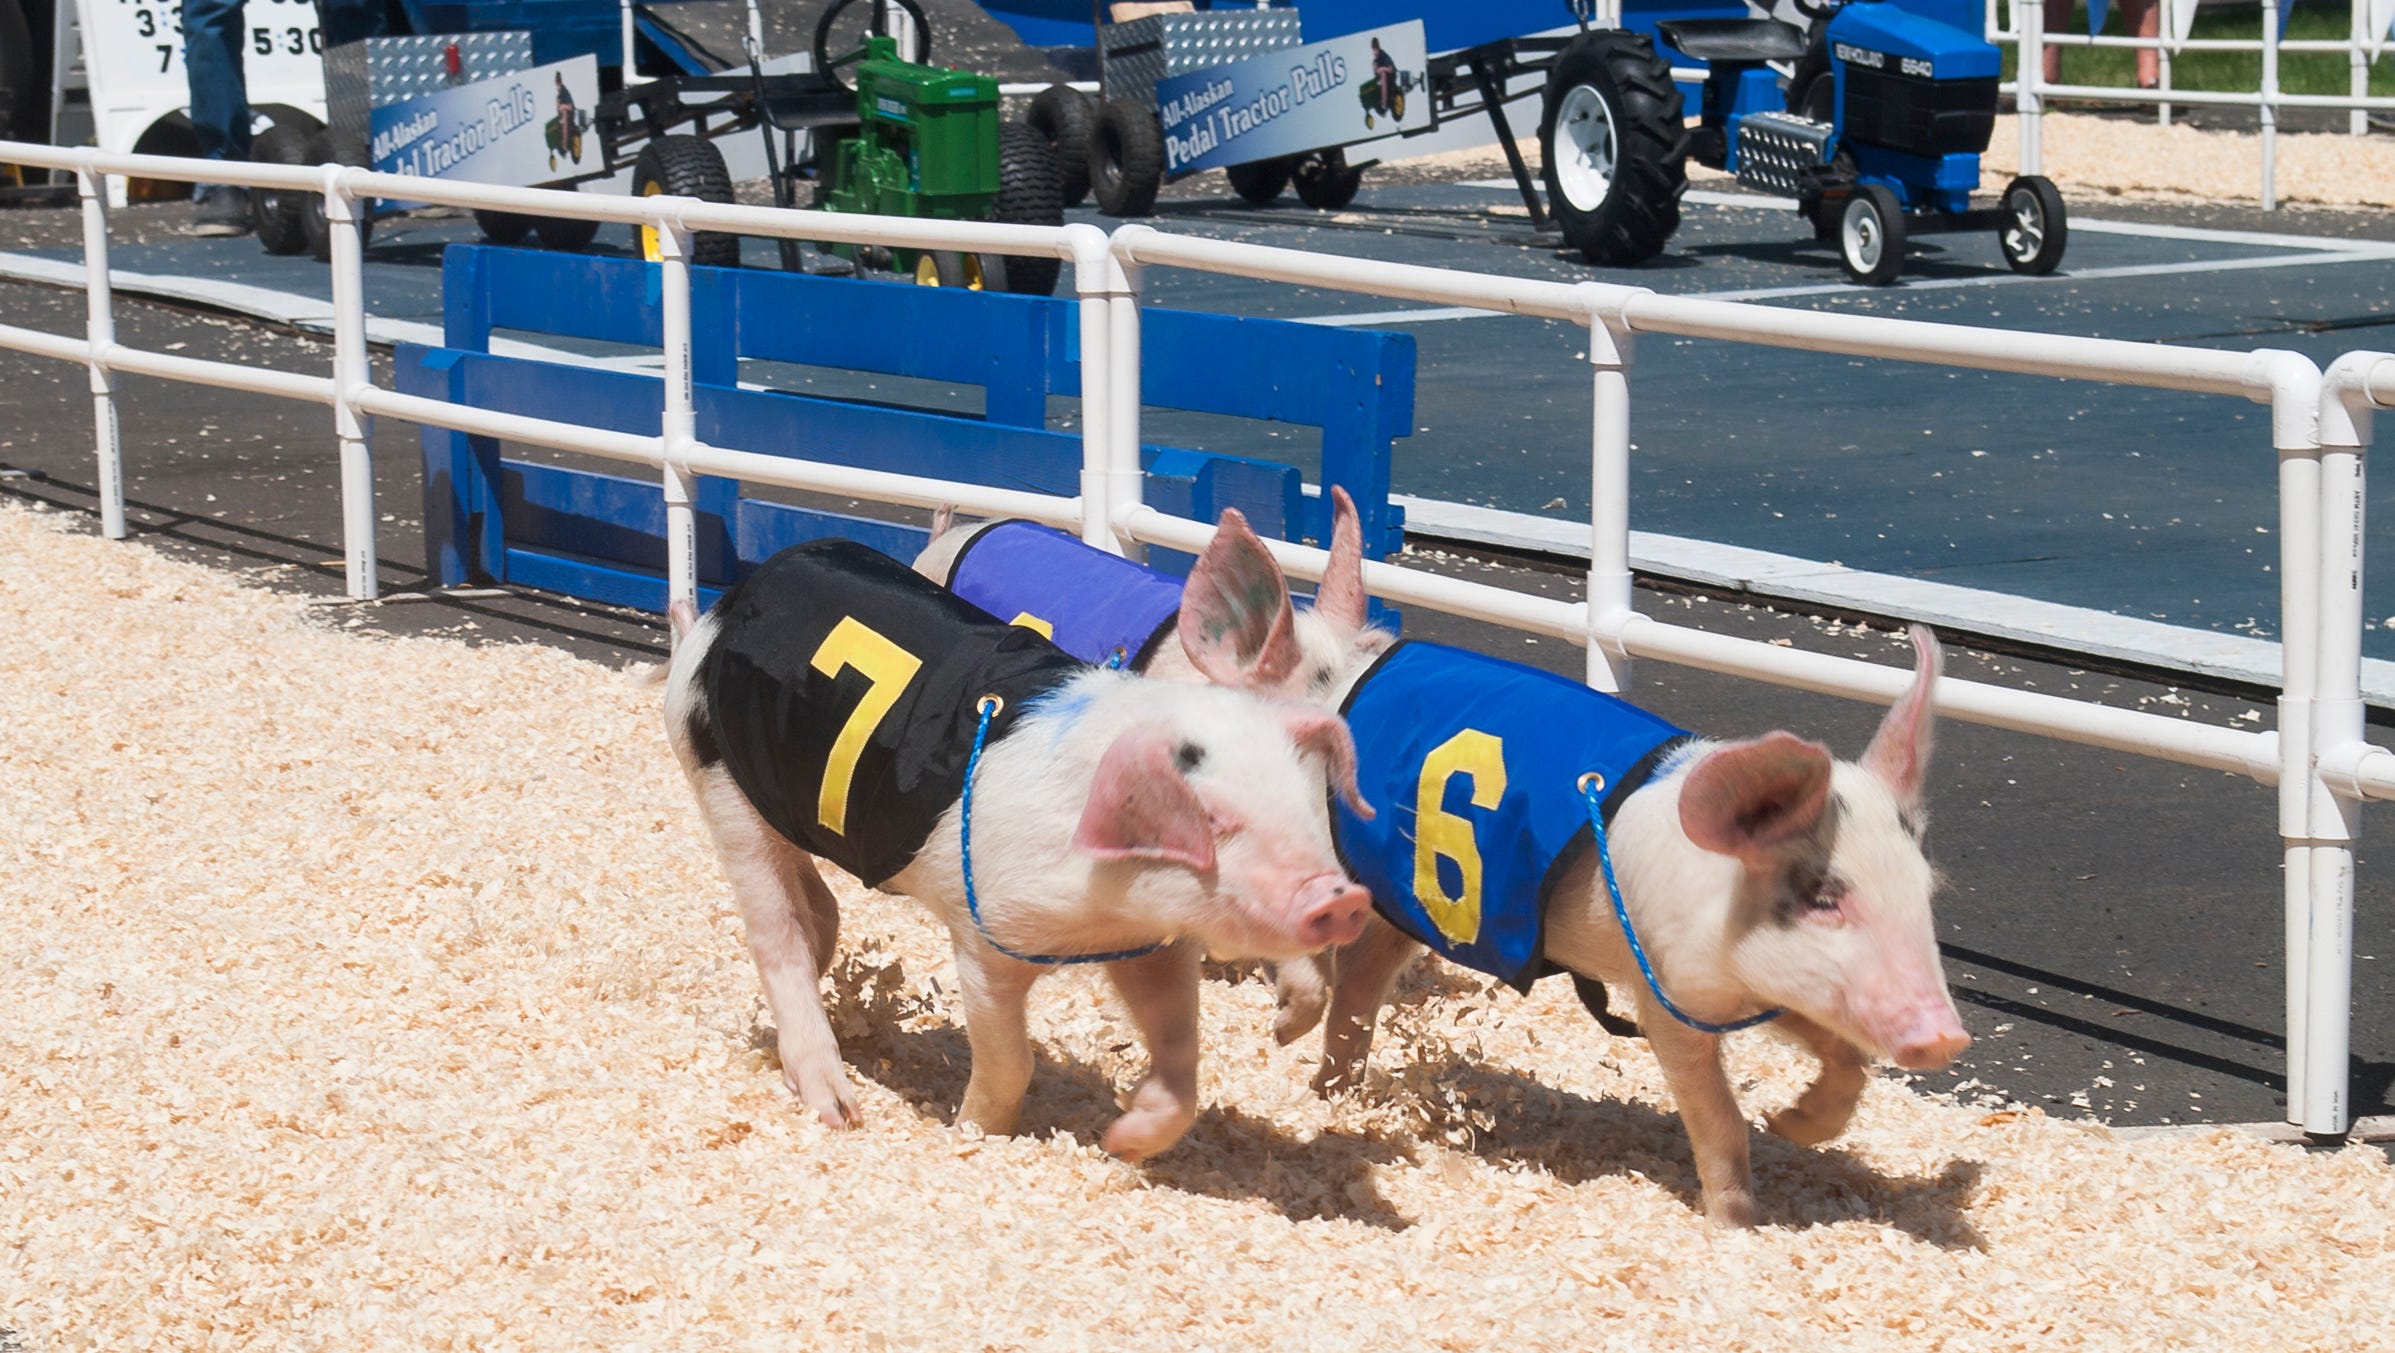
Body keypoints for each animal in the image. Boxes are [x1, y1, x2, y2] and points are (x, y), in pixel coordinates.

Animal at [658, 537, 1375, 1161]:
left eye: (1313, 804)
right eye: (1213, 816)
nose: (1343, 898)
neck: (1096, 919)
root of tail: (722, 609)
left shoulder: (1150, 943)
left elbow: (1180, 1053)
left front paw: (1124, 1141)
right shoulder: (984, 937)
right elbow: (1011, 1060)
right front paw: (971, 1134)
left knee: (813, 898)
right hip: (720, 779)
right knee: (773, 933)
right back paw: (838, 1108)